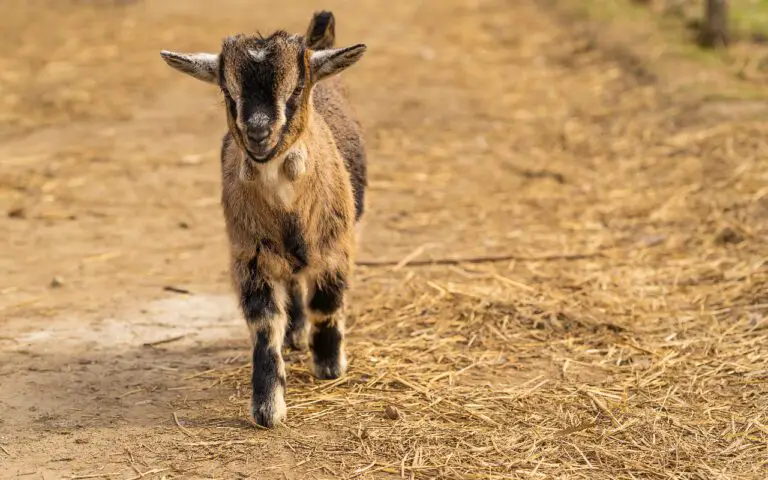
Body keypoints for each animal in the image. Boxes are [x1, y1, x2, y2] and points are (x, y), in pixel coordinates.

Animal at [160, 11, 367, 427]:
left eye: (297, 88)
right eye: (228, 92)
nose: (258, 133)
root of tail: (319, 45)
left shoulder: (337, 244)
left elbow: (327, 303)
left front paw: (329, 364)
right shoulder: (251, 255)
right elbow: (264, 323)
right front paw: (268, 407)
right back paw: (295, 333)